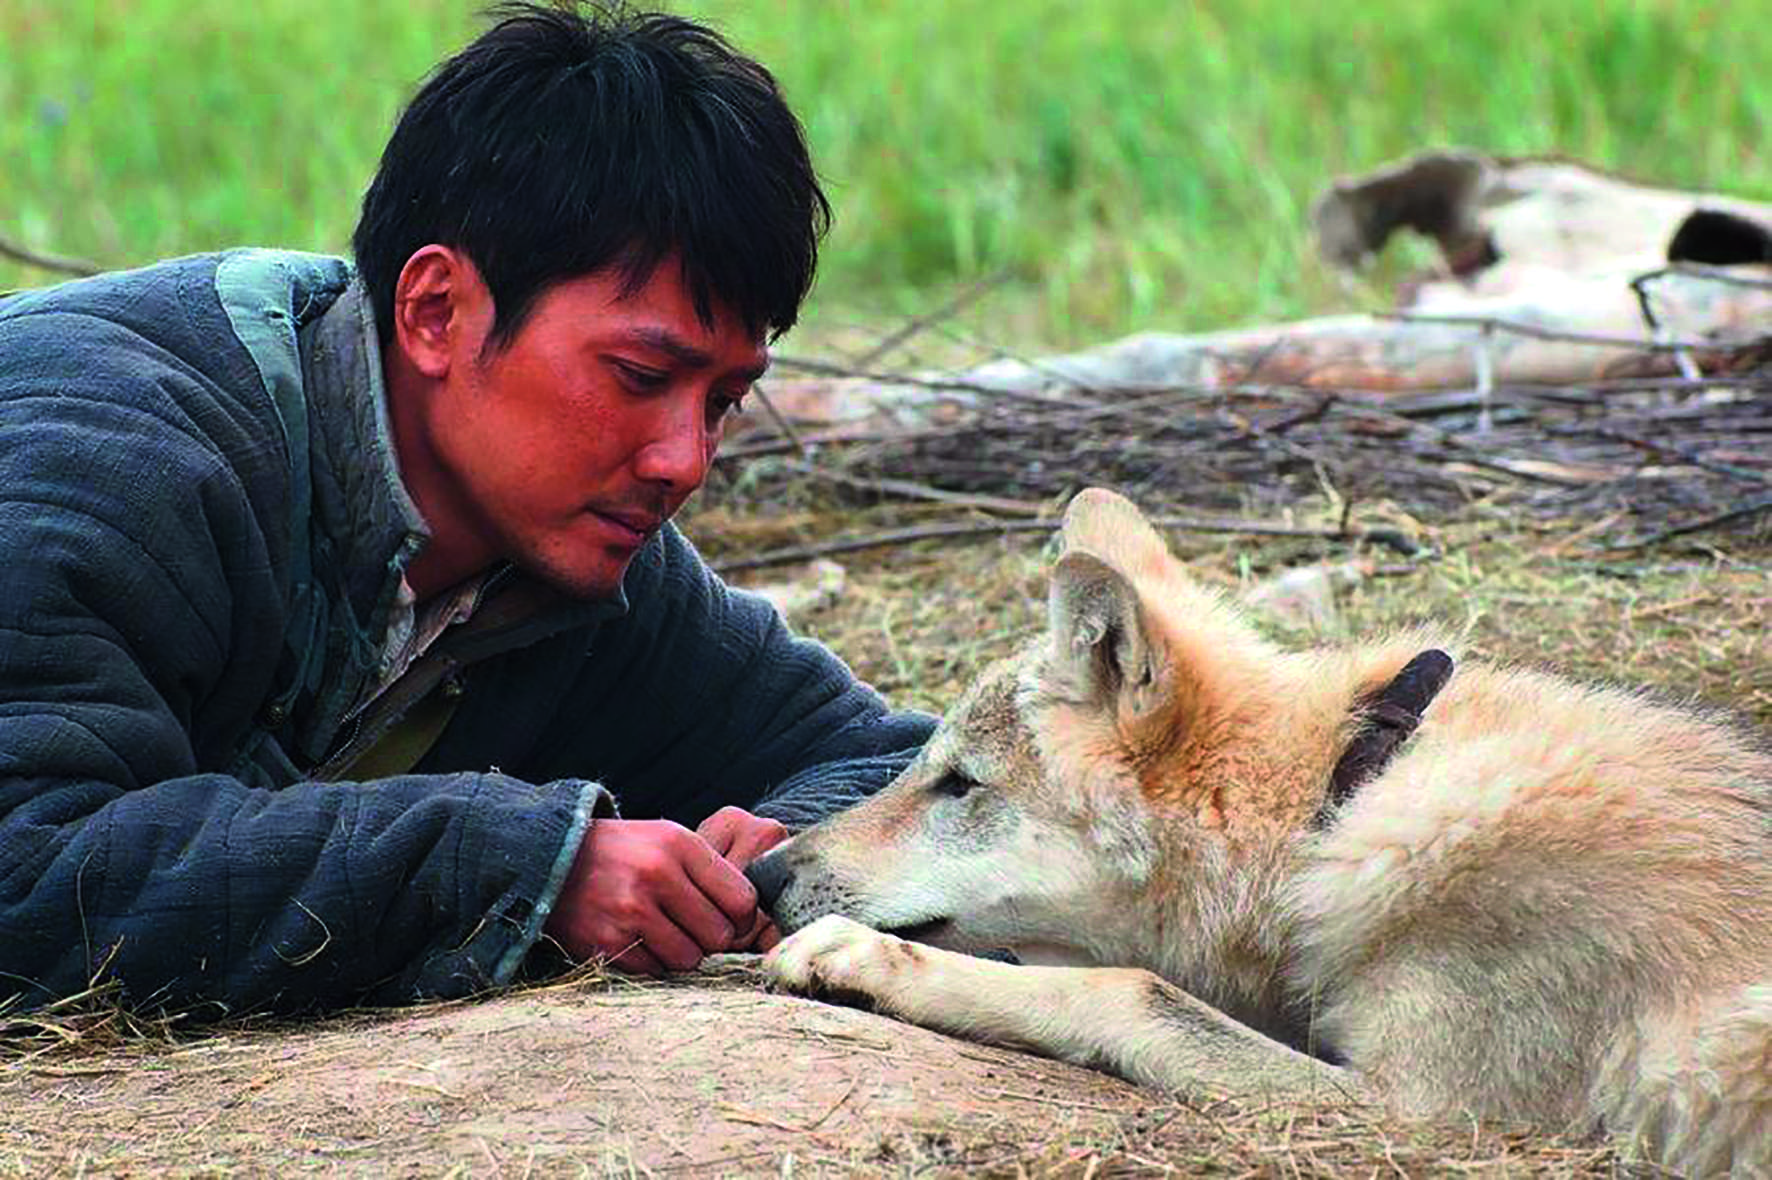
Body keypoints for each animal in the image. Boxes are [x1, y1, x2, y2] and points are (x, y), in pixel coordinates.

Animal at [746, 488, 1772, 1176]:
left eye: (960, 785)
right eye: (925, 764)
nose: (761, 875)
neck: (1339, 802)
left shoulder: (1425, 1118)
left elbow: (1127, 990)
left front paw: (858, 958)